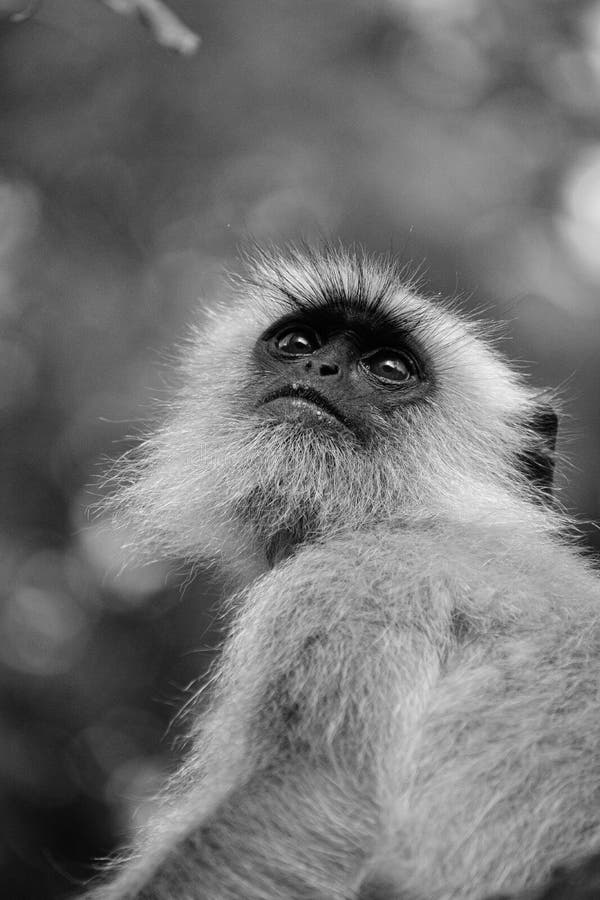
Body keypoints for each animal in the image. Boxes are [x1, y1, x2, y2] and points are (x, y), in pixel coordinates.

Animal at [85, 245, 600, 900]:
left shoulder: (352, 580)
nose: (319, 367)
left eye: (390, 367)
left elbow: (322, 793)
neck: (417, 517)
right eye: (297, 341)